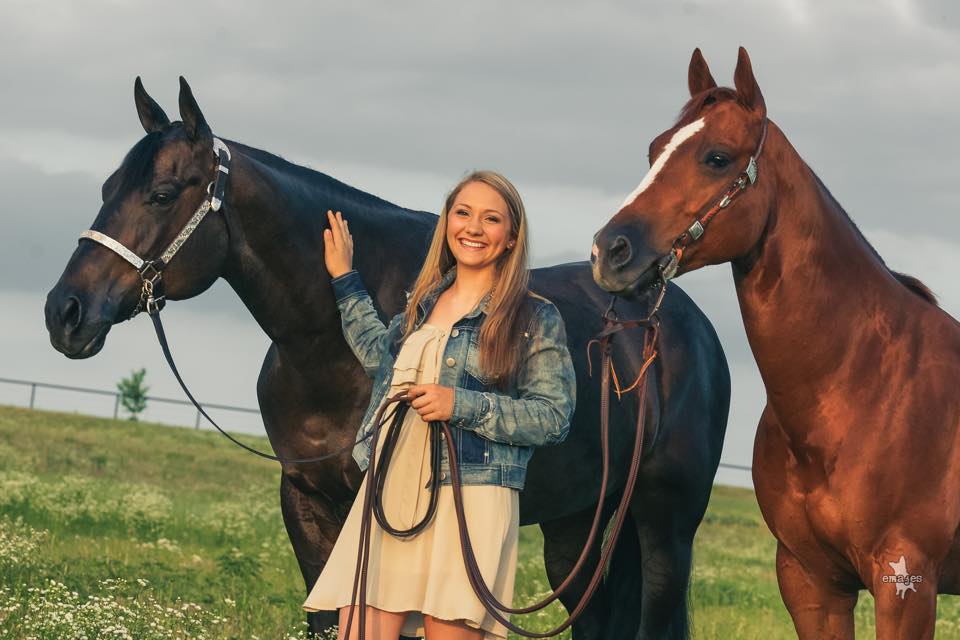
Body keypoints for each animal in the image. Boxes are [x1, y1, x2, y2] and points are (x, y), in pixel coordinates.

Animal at [44, 77, 730, 639]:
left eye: (161, 194)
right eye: (107, 188)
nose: (64, 312)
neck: (325, 351)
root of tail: (685, 323)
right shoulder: (307, 503)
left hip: (665, 525)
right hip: (580, 523)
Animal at [591, 46, 960, 639]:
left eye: (717, 157)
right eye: (654, 149)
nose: (611, 251)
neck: (866, 387)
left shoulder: (907, 585)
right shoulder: (811, 582)